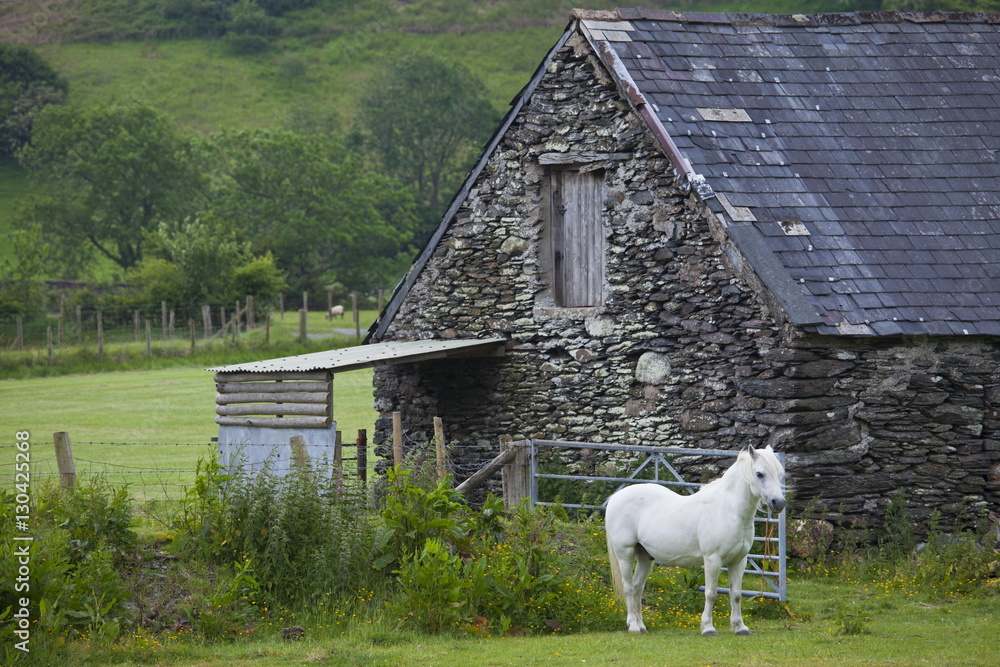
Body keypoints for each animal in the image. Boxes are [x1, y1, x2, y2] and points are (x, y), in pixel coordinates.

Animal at [605, 445, 786, 636]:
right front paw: (708, 628)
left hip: (645, 556)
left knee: (638, 587)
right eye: (759, 474)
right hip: (625, 553)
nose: (779, 503)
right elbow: (711, 593)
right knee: (628, 587)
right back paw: (633, 625)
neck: (728, 511)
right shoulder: (713, 559)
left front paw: (740, 627)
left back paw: (641, 625)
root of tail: (615, 497)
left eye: (779, 474)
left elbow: (736, 594)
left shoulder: (738, 561)